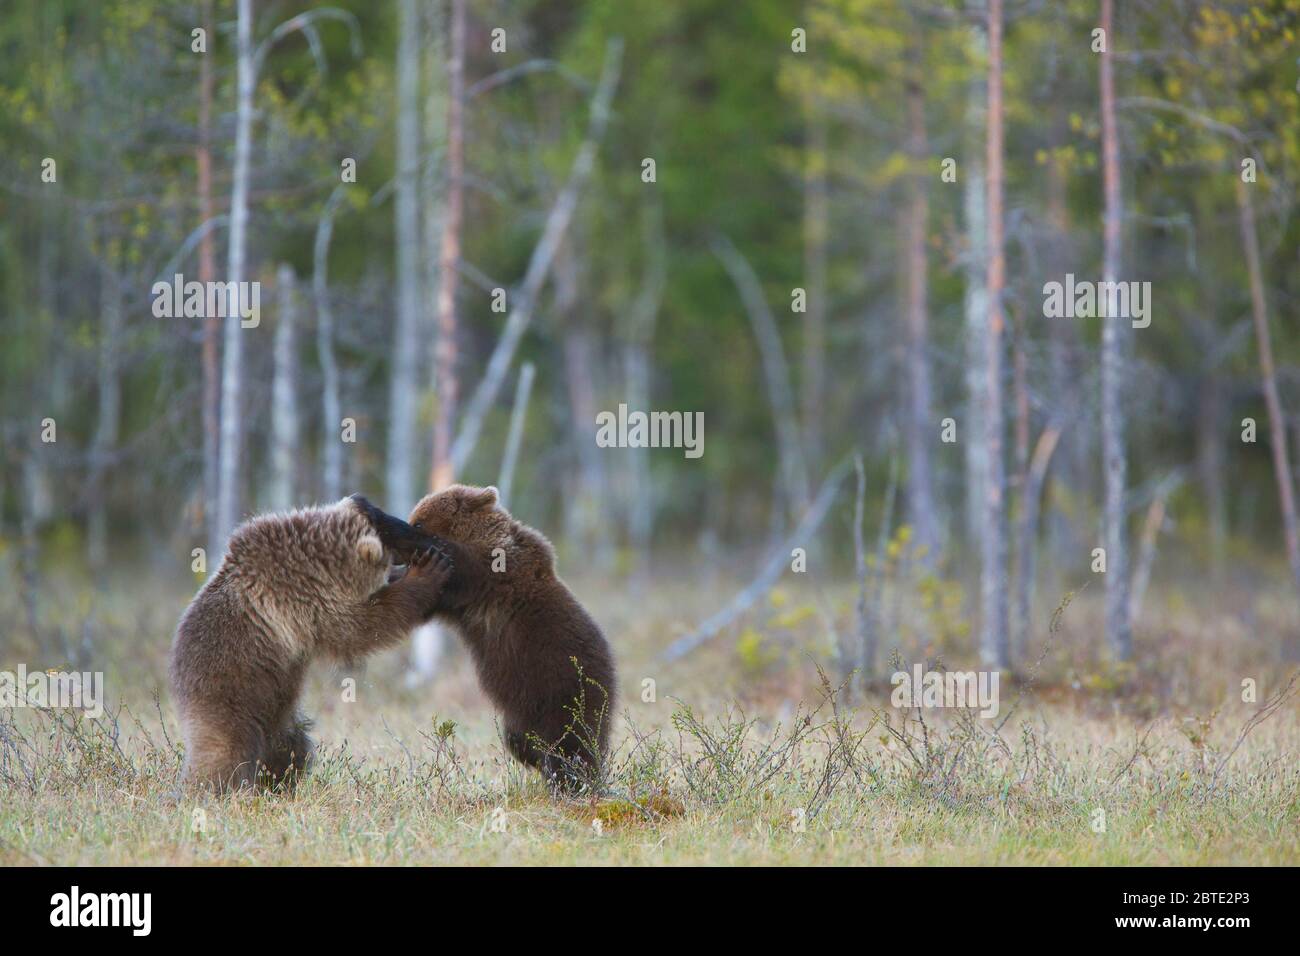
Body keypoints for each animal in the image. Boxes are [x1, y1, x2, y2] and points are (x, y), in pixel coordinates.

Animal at [169, 495, 452, 792]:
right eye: (390, 531)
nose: (422, 537)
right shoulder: (300, 598)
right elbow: (357, 627)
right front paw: (429, 573)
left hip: (278, 712)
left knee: (290, 746)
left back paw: (278, 782)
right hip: (232, 689)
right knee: (225, 751)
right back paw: (212, 788)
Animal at [405, 484, 617, 791]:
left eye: (418, 522)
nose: (407, 523)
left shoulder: (492, 572)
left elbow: (461, 569)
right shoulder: (461, 605)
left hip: (564, 690)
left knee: (570, 743)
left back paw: (573, 781)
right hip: (522, 713)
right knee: (520, 741)